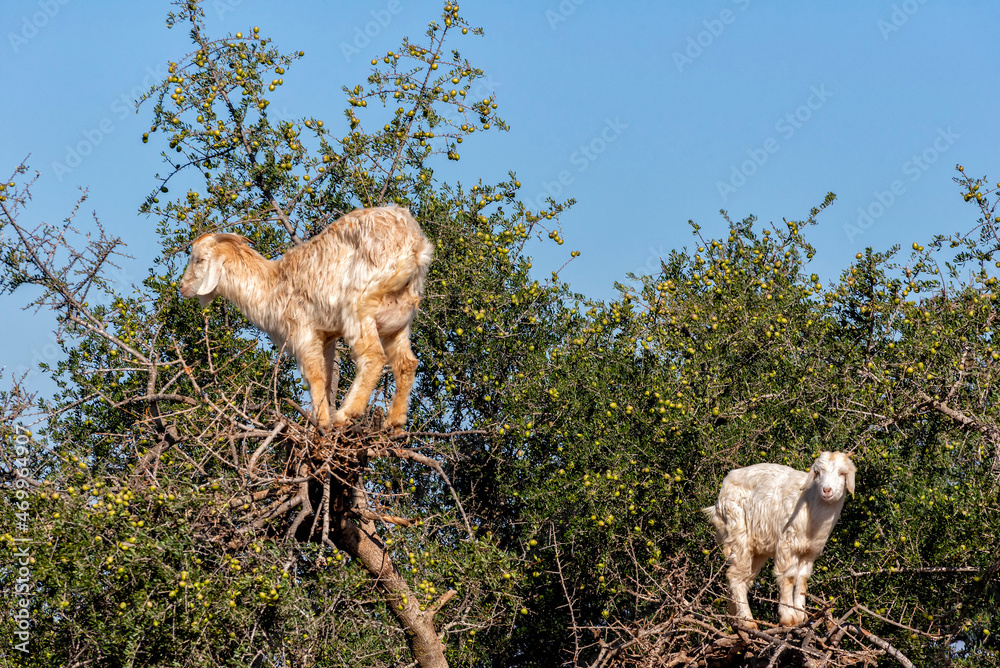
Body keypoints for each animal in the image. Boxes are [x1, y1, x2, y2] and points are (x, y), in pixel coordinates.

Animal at [178, 205, 433, 430]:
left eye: (199, 260)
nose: (182, 287)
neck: (271, 284)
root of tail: (414, 244)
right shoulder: (327, 335)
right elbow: (327, 377)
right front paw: (323, 417)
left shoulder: (302, 330)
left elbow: (315, 376)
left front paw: (320, 424)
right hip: (399, 317)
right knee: (406, 363)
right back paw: (395, 424)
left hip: (359, 303)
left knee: (373, 357)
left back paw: (345, 415)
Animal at [703, 451, 856, 627]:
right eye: (817, 473)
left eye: (842, 473)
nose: (827, 490)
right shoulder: (787, 544)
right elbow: (789, 577)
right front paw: (788, 617)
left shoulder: (810, 552)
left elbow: (802, 579)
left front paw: (801, 615)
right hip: (737, 530)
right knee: (735, 576)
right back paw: (748, 621)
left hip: (758, 549)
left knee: (744, 578)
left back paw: (734, 618)